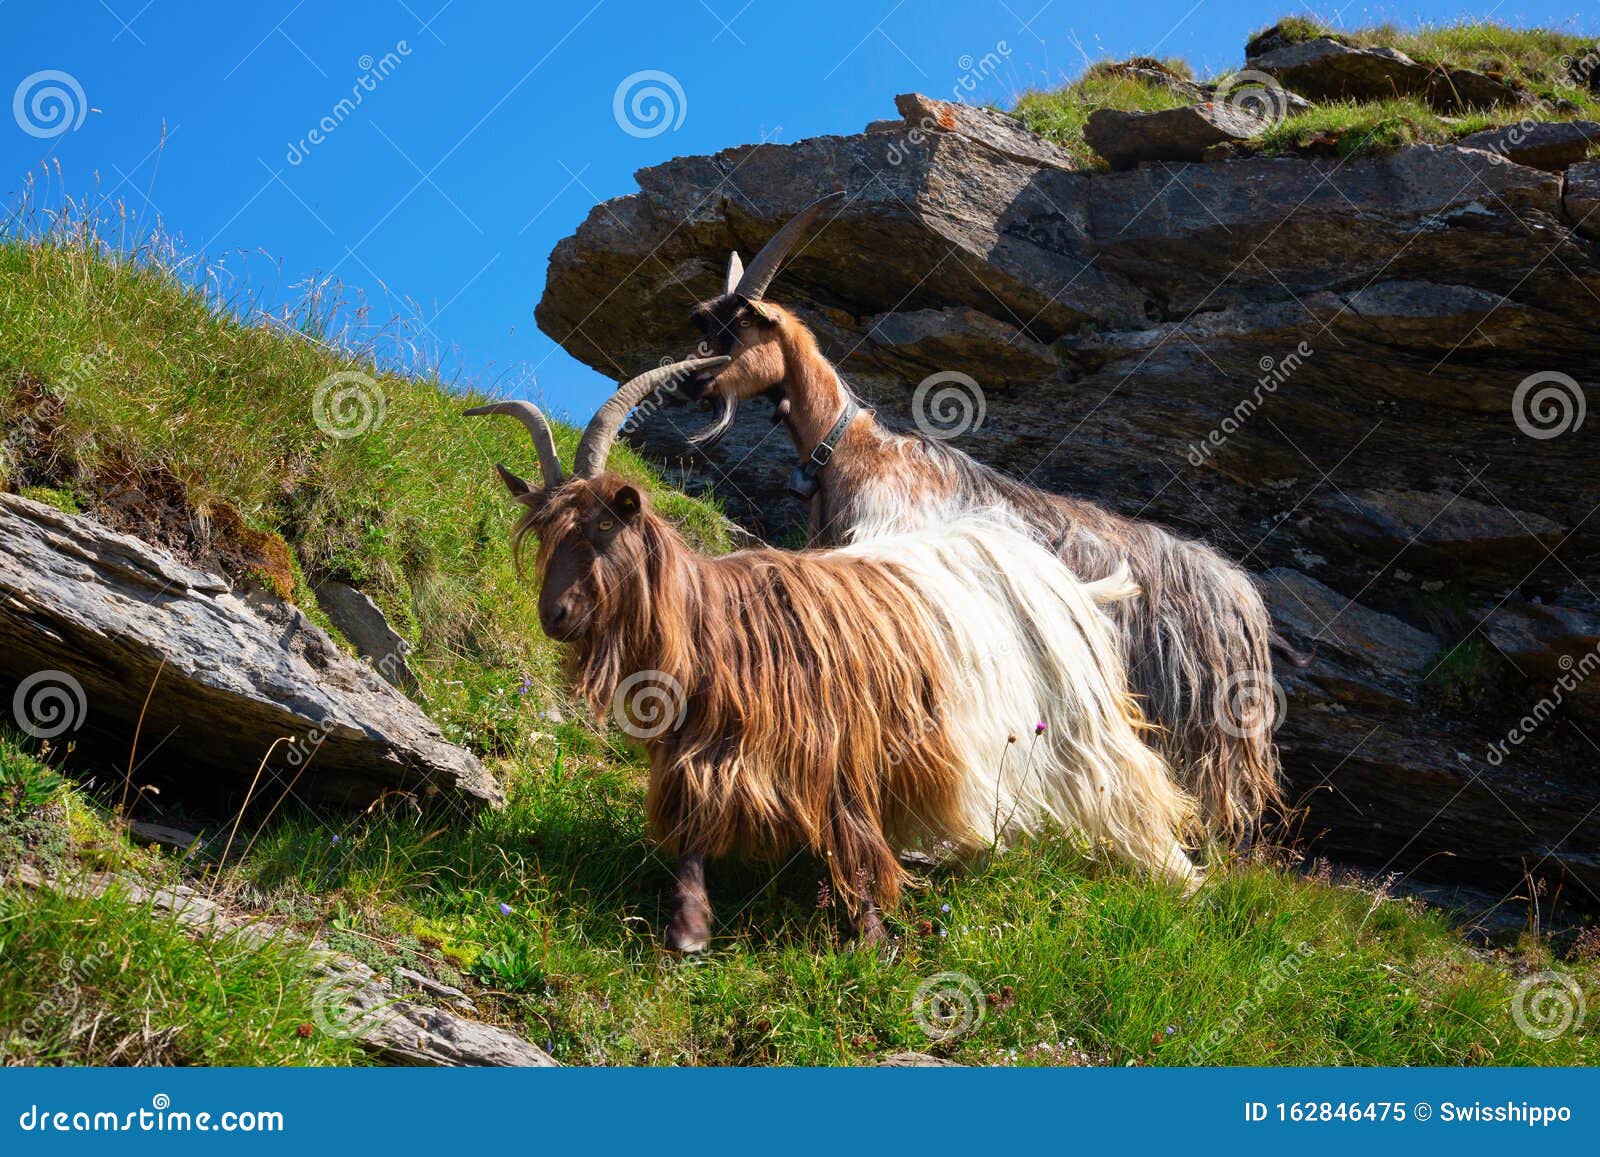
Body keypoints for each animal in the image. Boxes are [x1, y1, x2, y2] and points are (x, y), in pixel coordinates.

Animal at [468, 358, 1199, 951]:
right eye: (543, 534)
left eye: (601, 528)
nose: (554, 615)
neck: (714, 623)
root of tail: (1061, 576)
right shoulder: (709, 751)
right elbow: (696, 830)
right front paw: (689, 928)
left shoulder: (838, 748)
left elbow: (854, 845)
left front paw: (871, 937)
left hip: (1085, 728)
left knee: (1134, 791)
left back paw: (1181, 882)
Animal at [669, 193, 1286, 847]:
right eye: (706, 326)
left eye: (737, 329)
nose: (686, 382)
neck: (849, 448)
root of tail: (1242, 598)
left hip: (1210, 719)